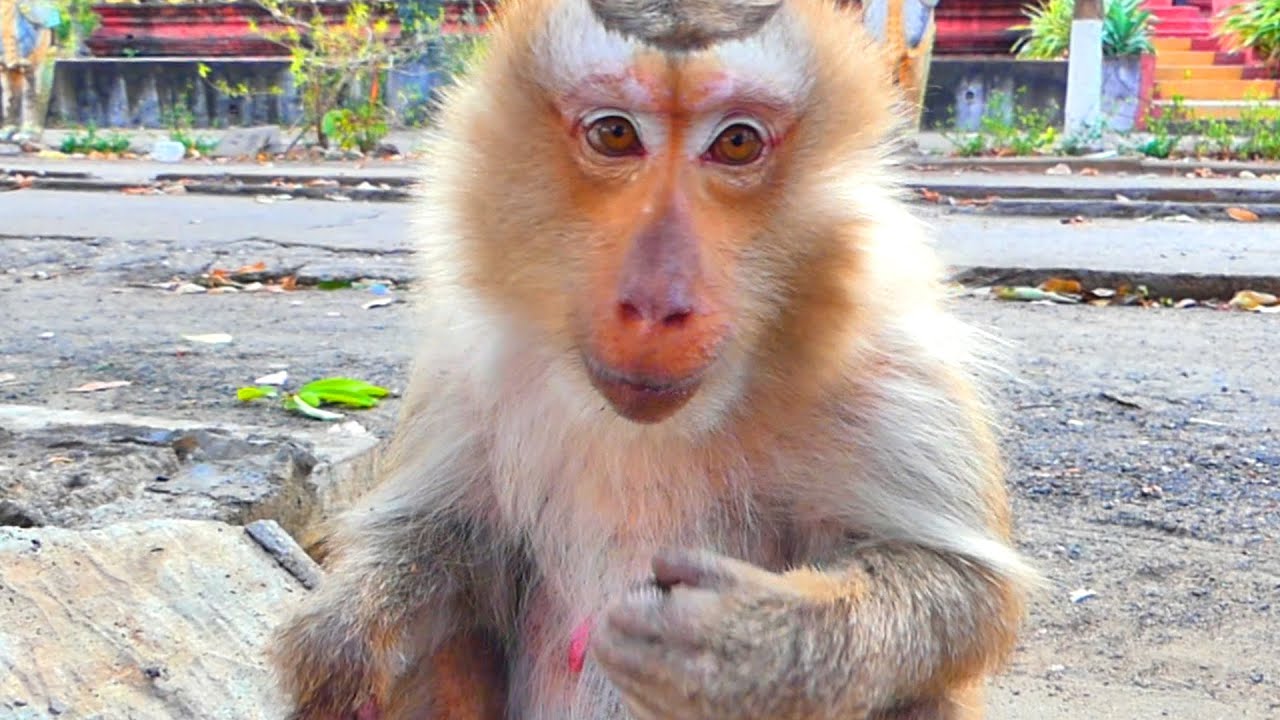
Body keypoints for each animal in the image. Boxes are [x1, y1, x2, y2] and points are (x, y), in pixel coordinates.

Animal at [269, 0, 1039, 718]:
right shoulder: (466, 356)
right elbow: (444, 539)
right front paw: (342, 637)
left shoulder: (893, 359)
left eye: (736, 142)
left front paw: (749, 649)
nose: (655, 302)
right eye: (615, 133)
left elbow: (965, 590)